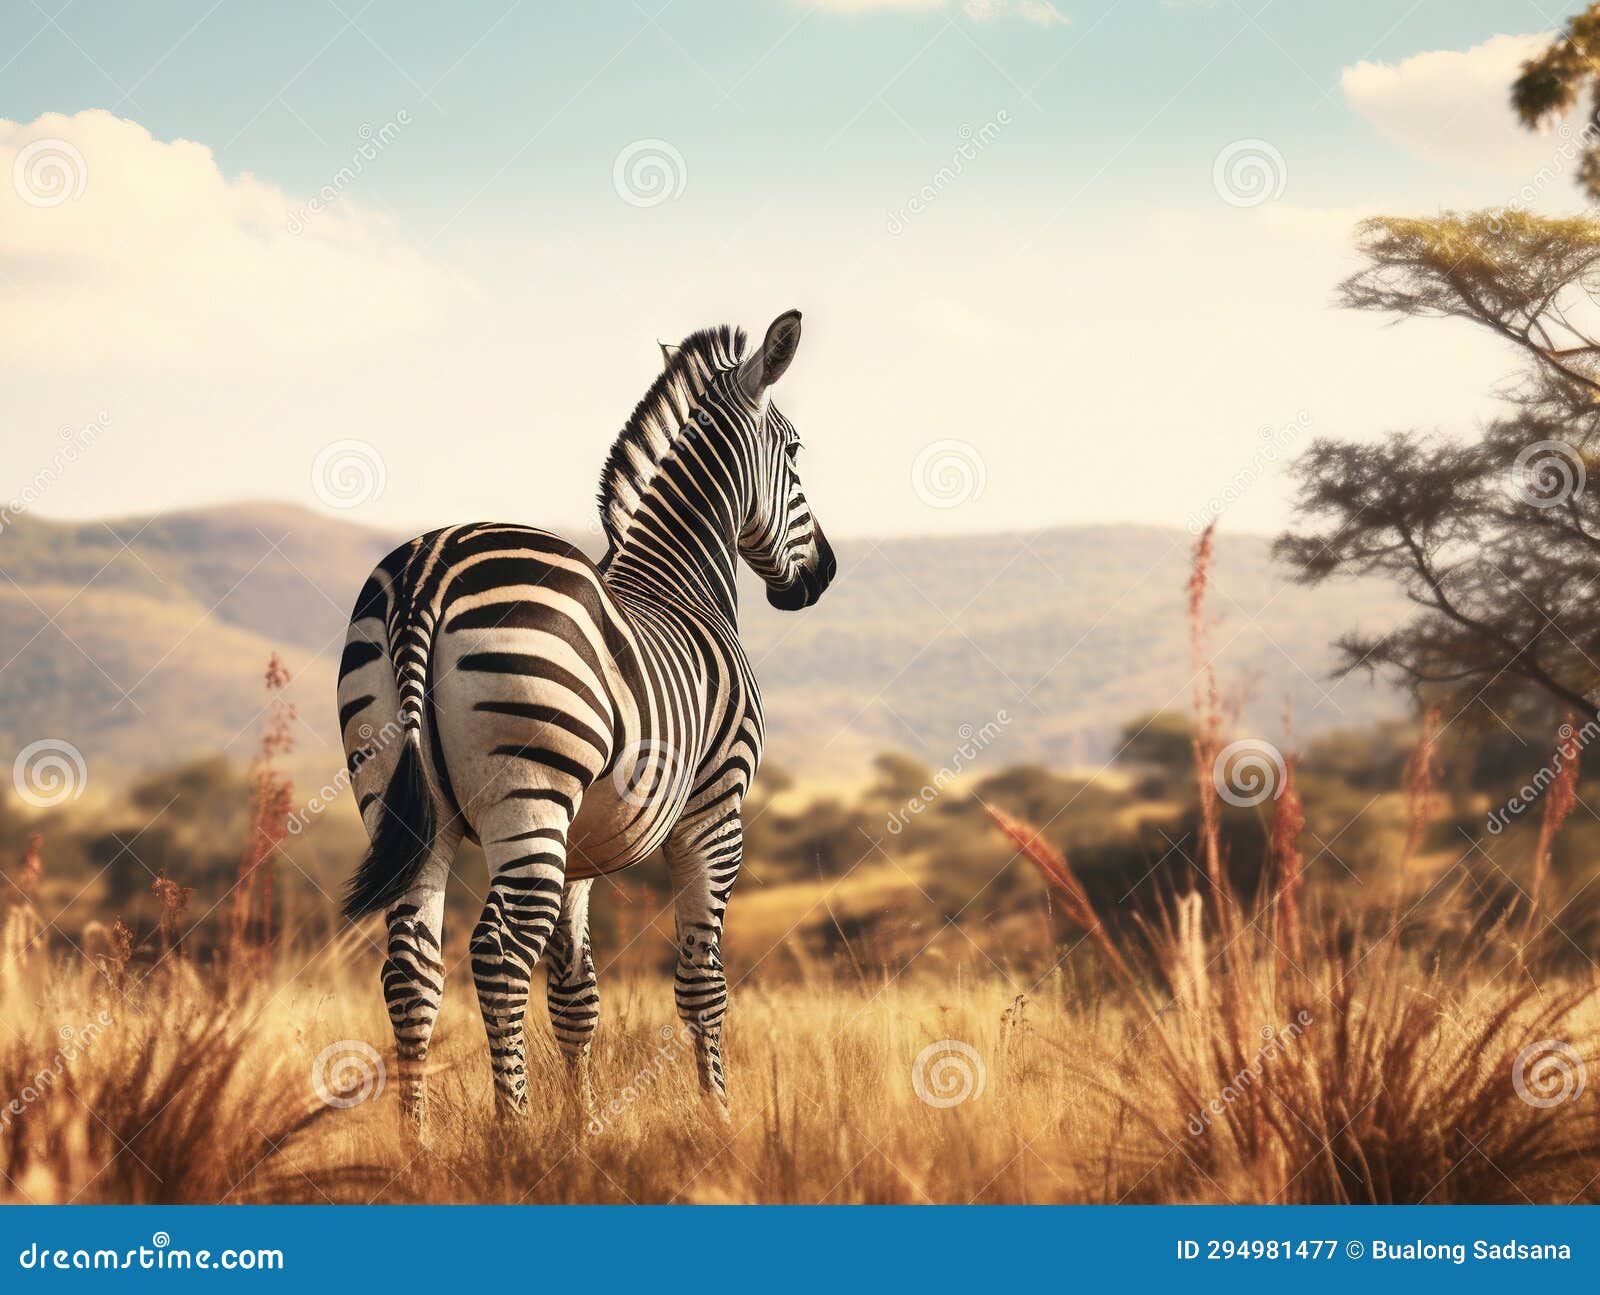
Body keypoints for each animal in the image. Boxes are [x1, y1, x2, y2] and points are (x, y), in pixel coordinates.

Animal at [335, 310, 835, 1127]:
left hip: (400, 800)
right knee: (499, 953)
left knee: (412, 968)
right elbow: (703, 984)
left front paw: (582, 1130)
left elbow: (577, 994)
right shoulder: (715, 812)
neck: (681, 581)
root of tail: (427, 569)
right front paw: (718, 1119)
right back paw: (511, 1132)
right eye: (795, 452)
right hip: (530, 795)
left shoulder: (582, 851)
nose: (822, 574)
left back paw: (420, 1142)